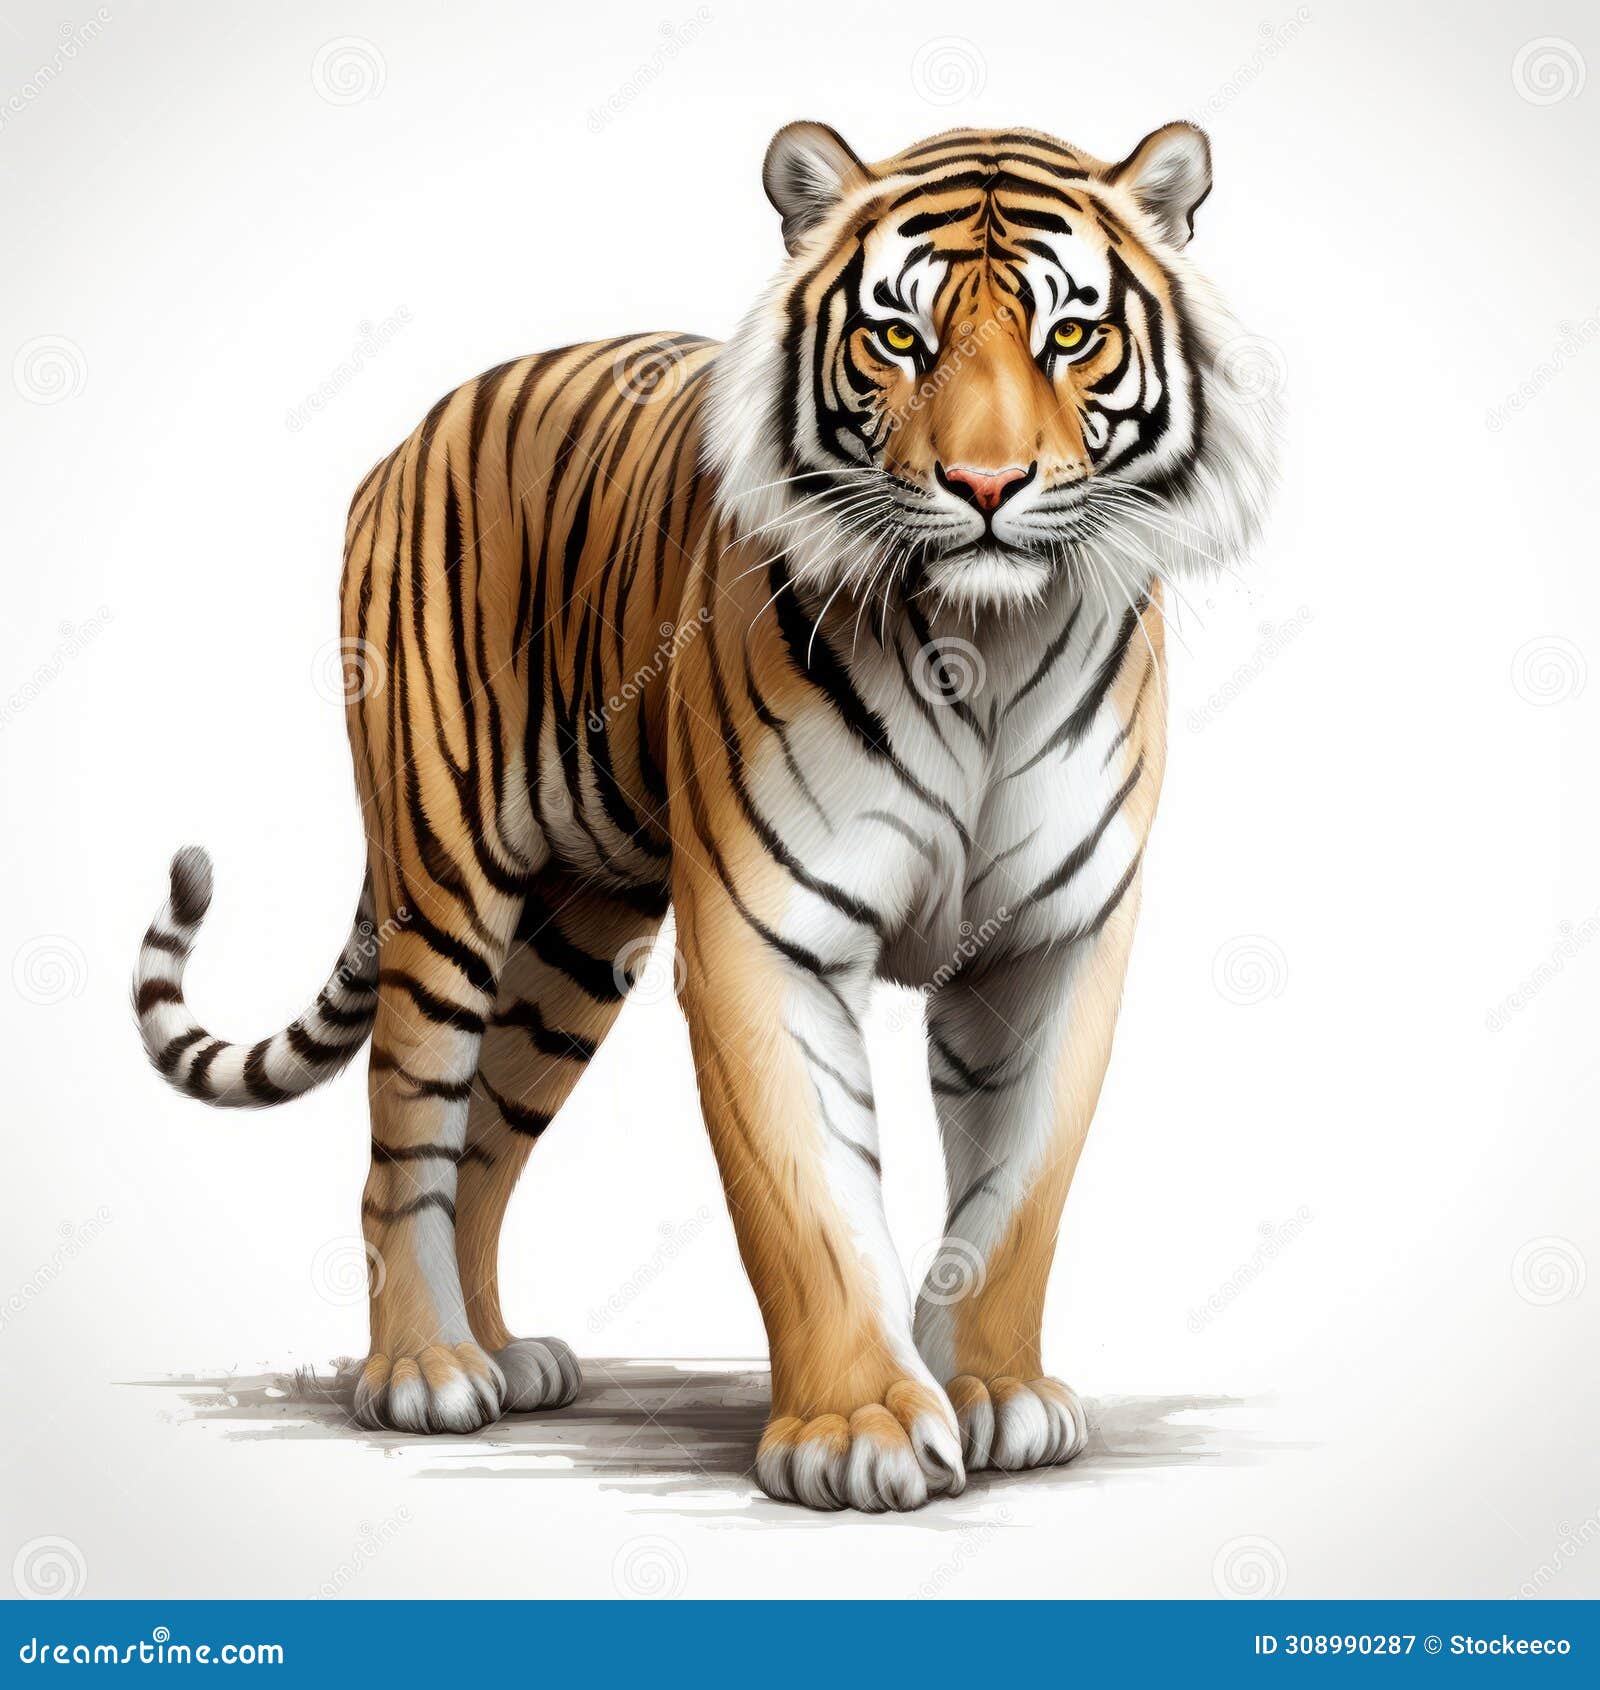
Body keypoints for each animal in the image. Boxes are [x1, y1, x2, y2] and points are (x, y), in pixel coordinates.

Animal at [133, 120, 1275, 1512]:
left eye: (1069, 335)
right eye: (899, 339)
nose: (986, 483)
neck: (984, 640)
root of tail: (419, 424)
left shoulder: (1051, 943)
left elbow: (1016, 1197)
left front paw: (994, 1390)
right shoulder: (762, 932)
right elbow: (808, 1200)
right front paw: (857, 1430)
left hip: (575, 941)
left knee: (484, 1146)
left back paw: (502, 1352)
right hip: (445, 884)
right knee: (406, 1137)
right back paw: (425, 1370)